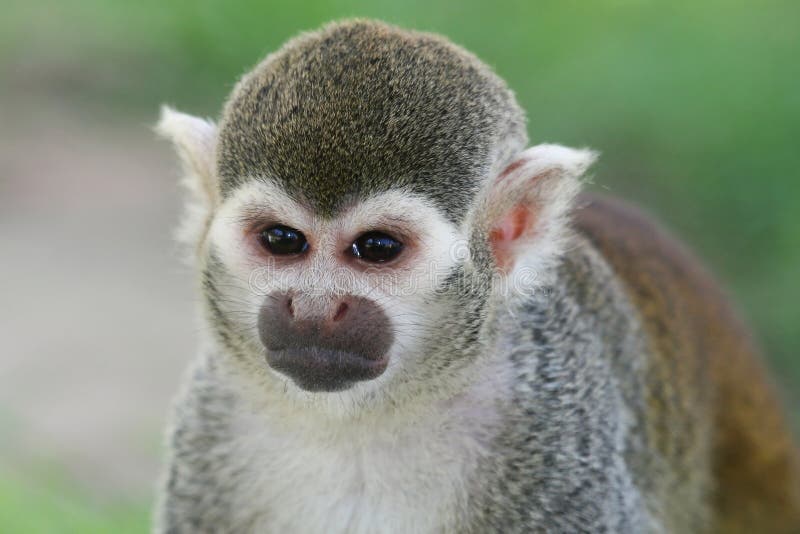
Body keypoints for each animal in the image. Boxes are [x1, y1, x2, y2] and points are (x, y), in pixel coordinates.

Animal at [154, 19, 800, 533]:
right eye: (282, 240)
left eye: (377, 248)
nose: (314, 307)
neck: (364, 420)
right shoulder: (212, 421)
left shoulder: (555, 431)